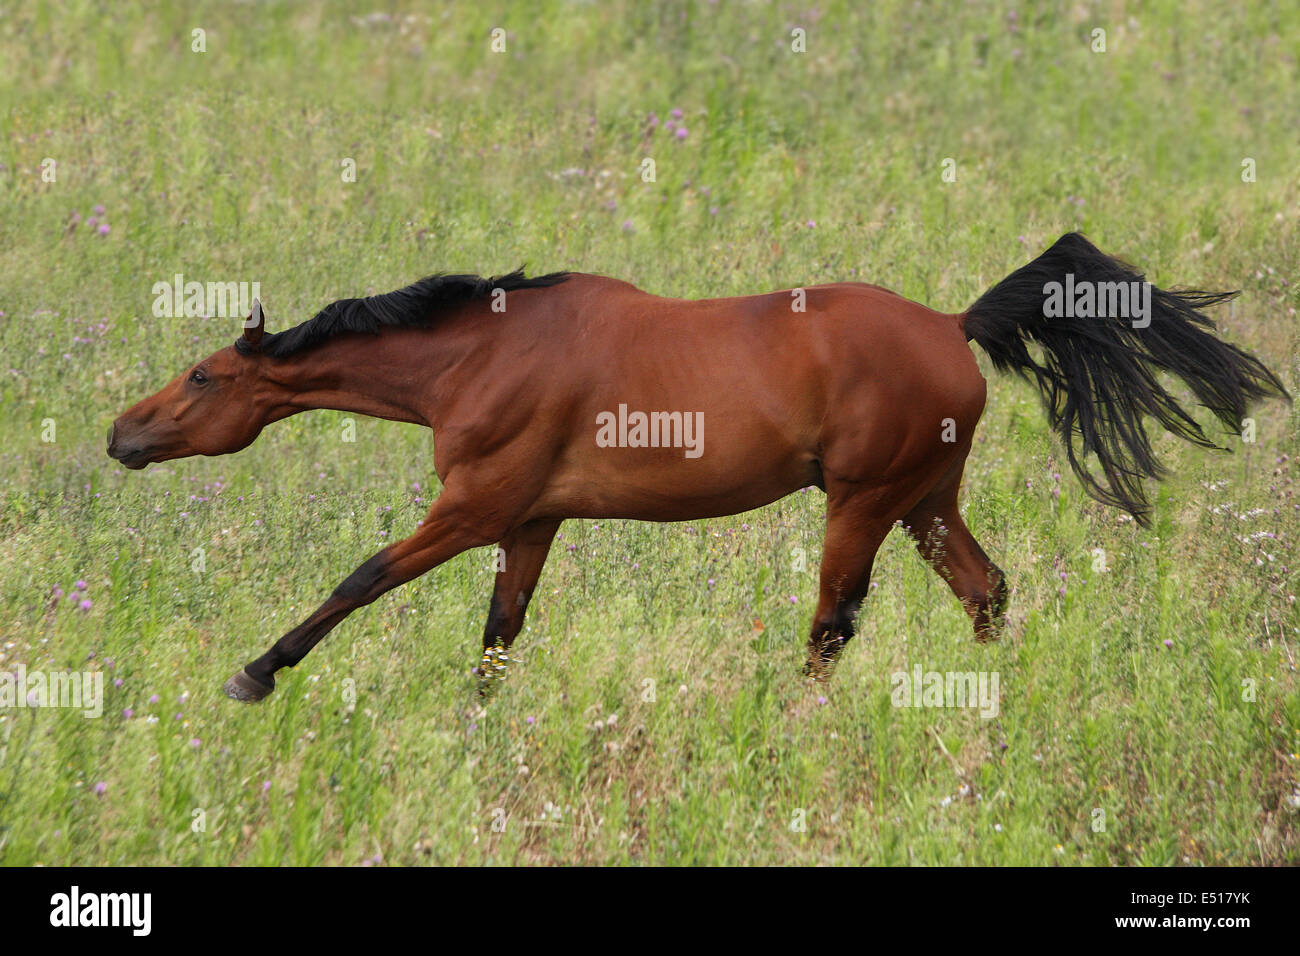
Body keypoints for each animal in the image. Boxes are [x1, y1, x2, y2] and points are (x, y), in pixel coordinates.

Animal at [108, 233, 1289, 702]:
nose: (122, 434)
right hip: (923, 501)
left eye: (205, 376)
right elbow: (499, 634)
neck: (477, 355)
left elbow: (362, 577)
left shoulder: (475, 506)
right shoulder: (529, 522)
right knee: (985, 590)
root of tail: (954, 327)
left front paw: (256, 672)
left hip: (863, 502)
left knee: (831, 624)